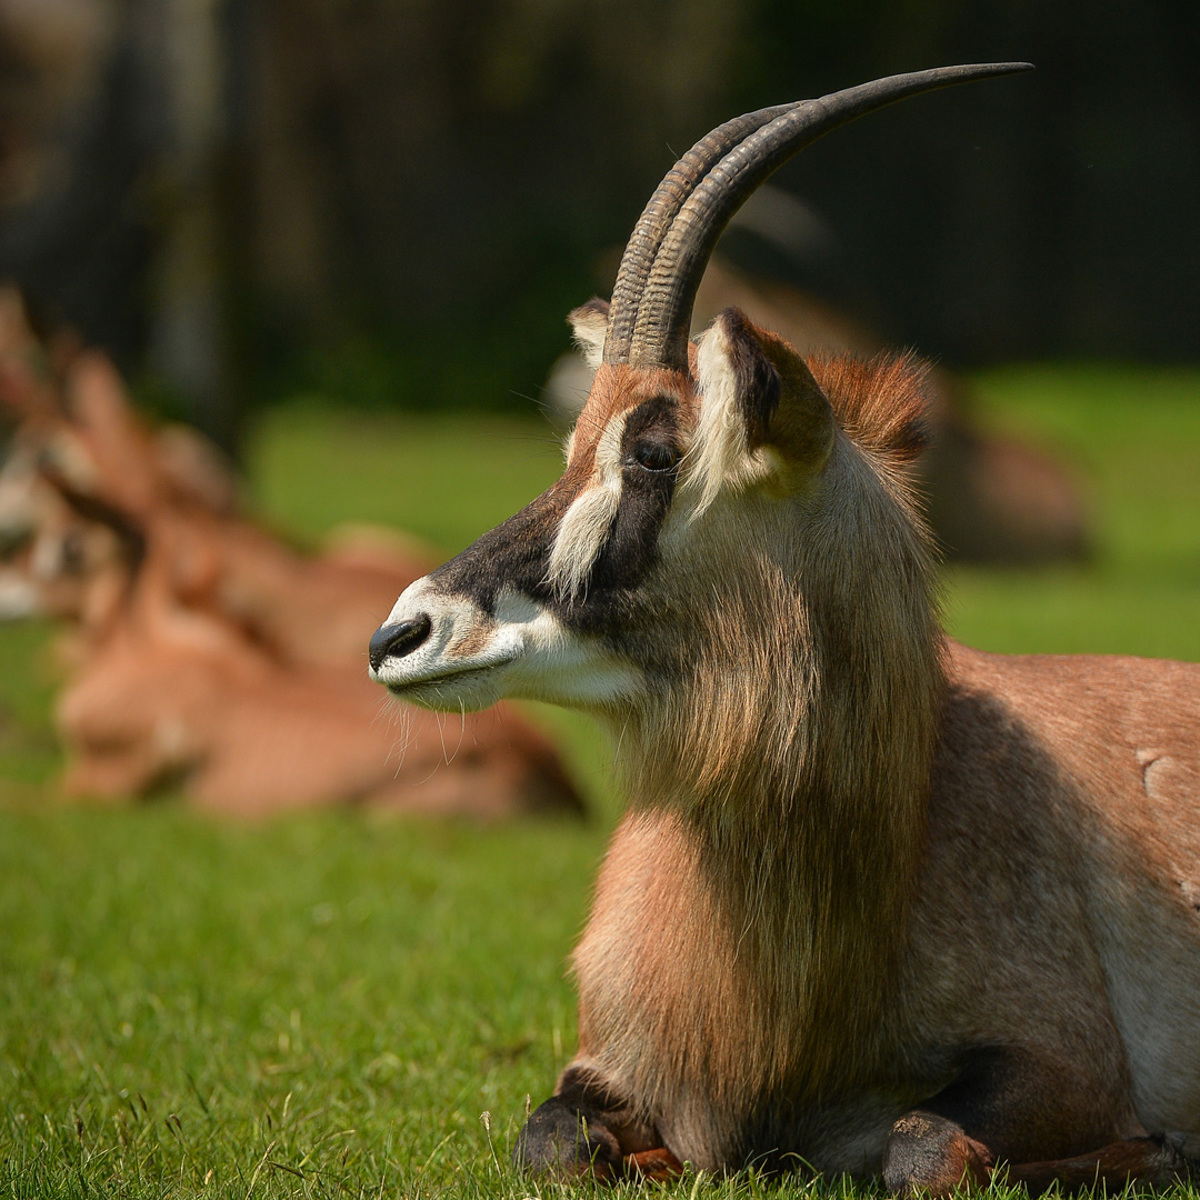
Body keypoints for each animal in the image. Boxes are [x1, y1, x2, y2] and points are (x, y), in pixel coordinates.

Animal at [369, 65, 1200, 1194]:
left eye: (655, 453)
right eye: (574, 443)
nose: (402, 634)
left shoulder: (1062, 1058)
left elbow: (921, 1146)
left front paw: (1146, 1149)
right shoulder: (607, 1061)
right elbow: (552, 1143)